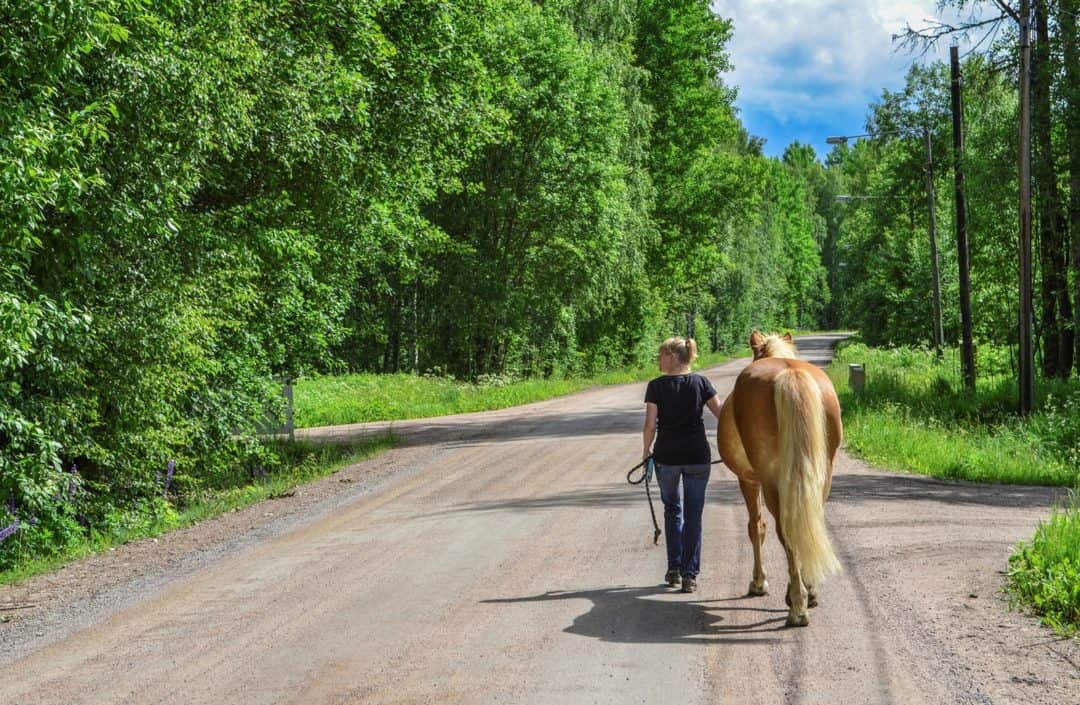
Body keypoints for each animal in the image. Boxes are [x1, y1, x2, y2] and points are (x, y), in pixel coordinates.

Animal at [716, 331, 843, 627]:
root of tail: (790, 374)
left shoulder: (749, 481)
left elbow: (756, 528)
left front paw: (758, 583)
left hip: (772, 481)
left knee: (786, 531)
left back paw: (797, 607)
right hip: (821, 477)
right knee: (807, 525)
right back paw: (809, 593)